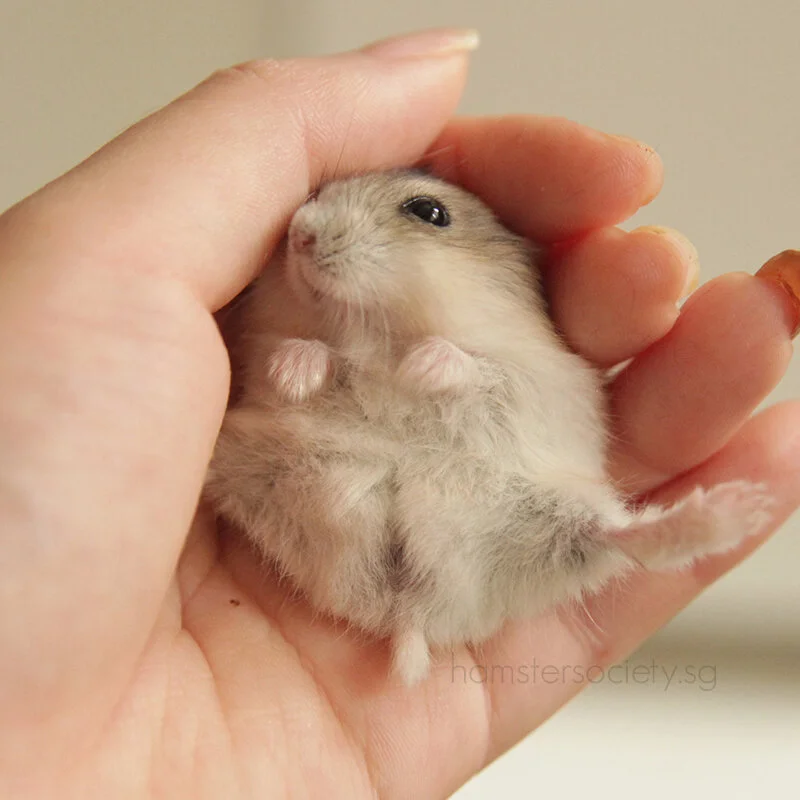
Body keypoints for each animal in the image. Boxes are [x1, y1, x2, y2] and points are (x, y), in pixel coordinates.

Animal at [206, 170, 773, 685]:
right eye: (318, 193)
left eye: (428, 211)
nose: (299, 234)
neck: (373, 334)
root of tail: (407, 611)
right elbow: (306, 353)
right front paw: (296, 375)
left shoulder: (532, 375)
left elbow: (474, 366)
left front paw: (417, 369)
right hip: (241, 459)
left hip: (558, 519)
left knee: (623, 537)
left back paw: (736, 508)